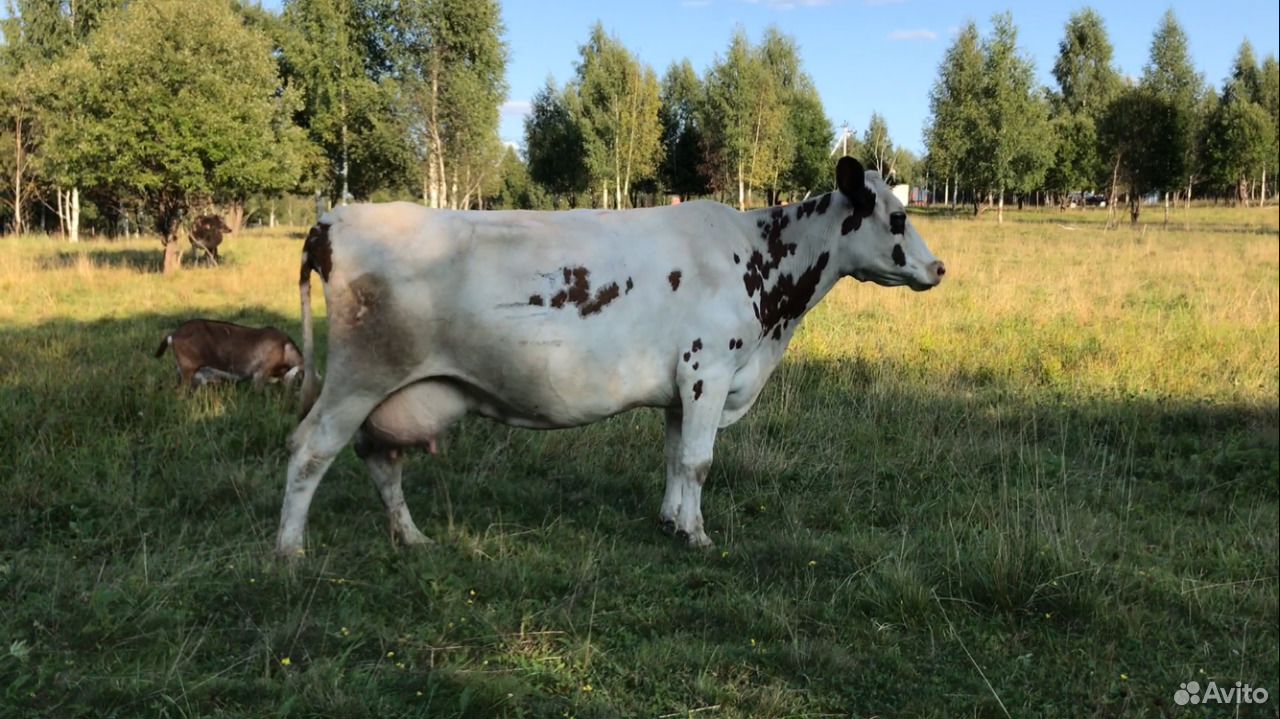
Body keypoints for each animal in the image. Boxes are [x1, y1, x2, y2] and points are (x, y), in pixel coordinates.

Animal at [276, 157, 945, 558]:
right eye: (897, 217)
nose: (938, 267)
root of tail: (332, 219)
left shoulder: (682, 387)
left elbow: (675, 459)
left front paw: (671, 522)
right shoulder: (709, 371)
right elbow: (700, 461)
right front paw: (698, 535)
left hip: (388, 390)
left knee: (379, 456)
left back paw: (411, 537)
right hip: (361, 375)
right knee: (311, 448)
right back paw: (289, 552)